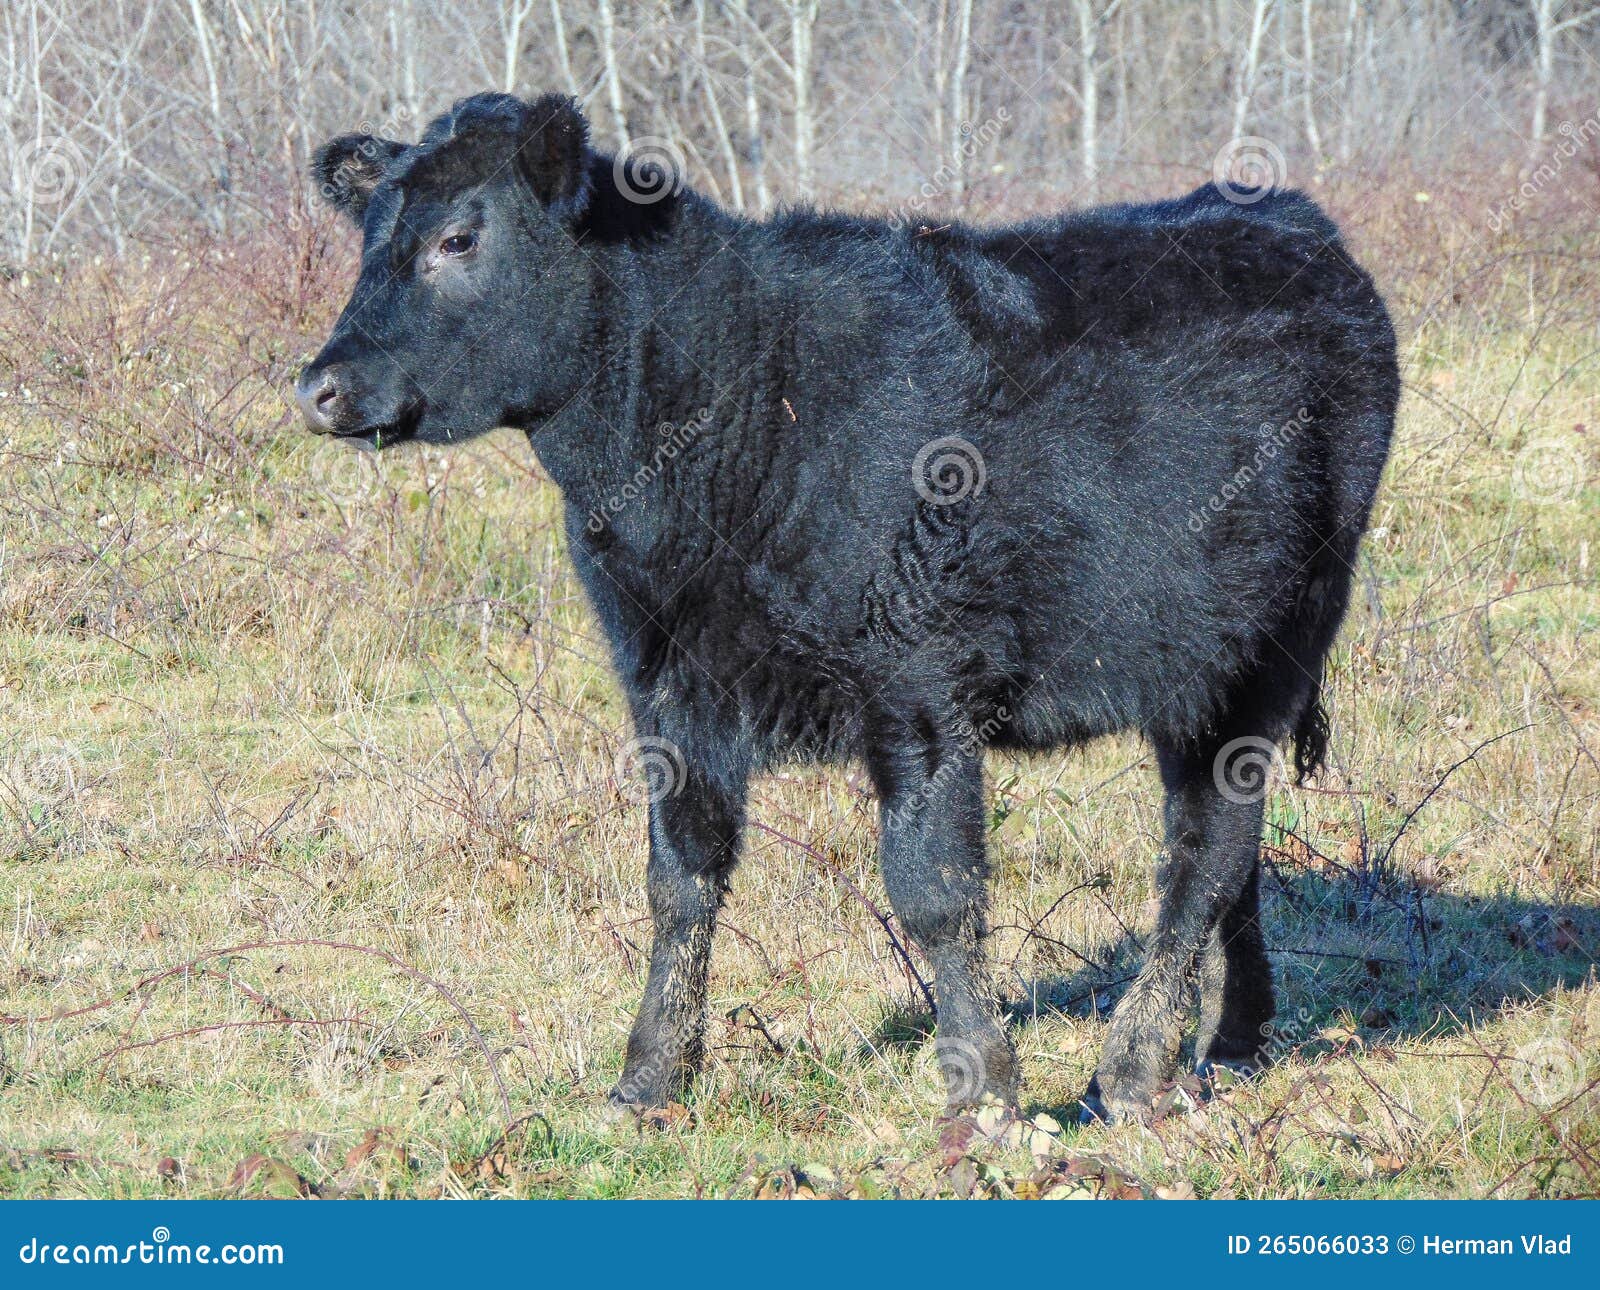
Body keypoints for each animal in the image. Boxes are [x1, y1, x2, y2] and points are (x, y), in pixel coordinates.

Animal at [296, 92, 1398, 1123]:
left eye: (457, 238)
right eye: (371, 236)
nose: (318, 387)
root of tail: (1291, 221)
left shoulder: (920, 680)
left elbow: (934, 890)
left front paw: (982, 1088)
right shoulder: (667, 681)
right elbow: (678, 878)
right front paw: (650, 1077)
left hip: (1282, 639)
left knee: (1207, 851)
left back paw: (1130, 1070)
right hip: (1194, 668)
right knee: (1226, 849)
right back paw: (1230, 1040)